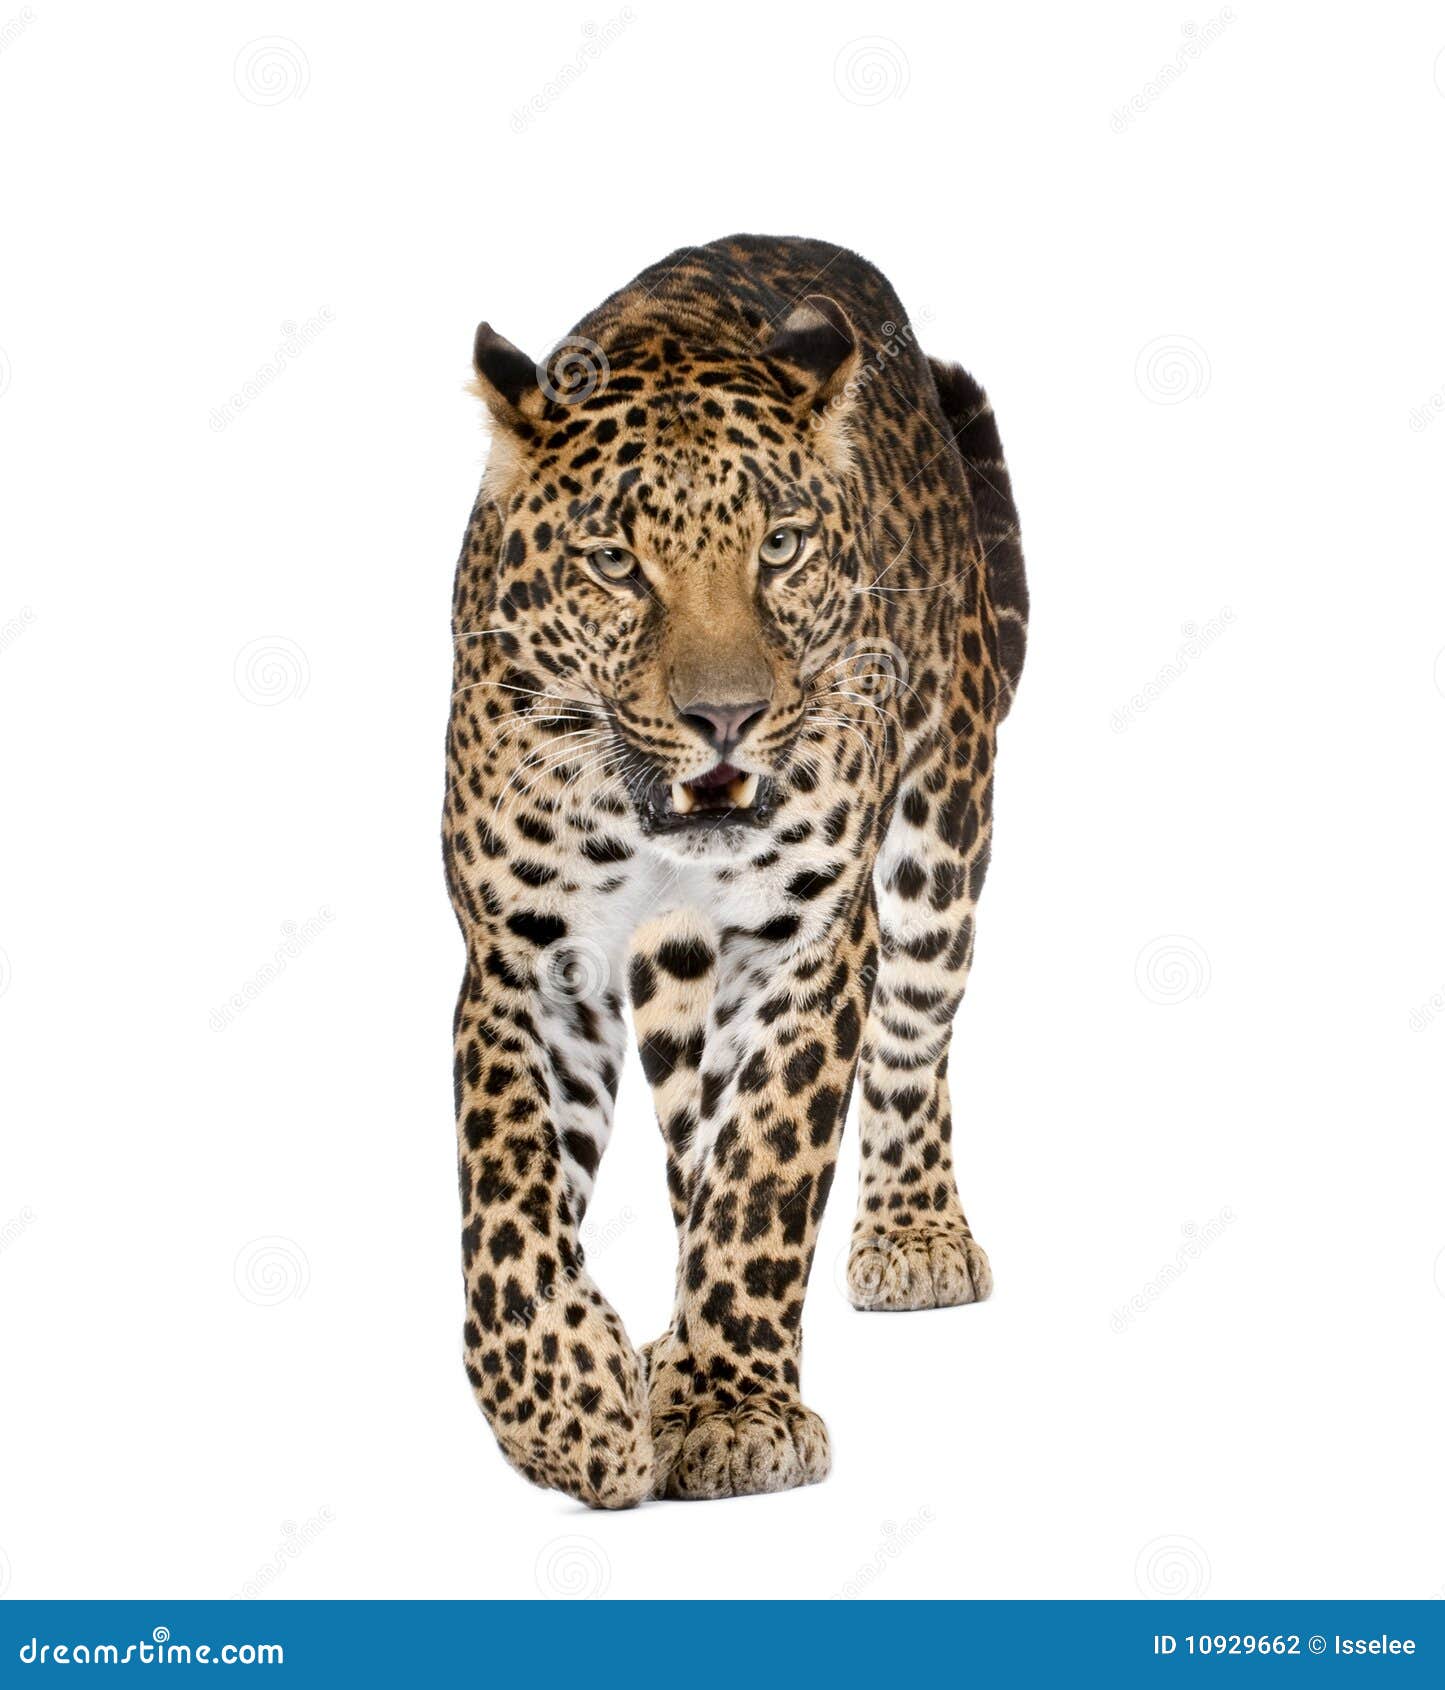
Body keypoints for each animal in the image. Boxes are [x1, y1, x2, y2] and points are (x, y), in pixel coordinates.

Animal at [443, 234, 1028, 1508]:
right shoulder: (525, 957)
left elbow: (764, 1167)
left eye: (780, 547)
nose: (726, 720)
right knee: (687, 1139)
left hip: (939, 835)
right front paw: (568, 1409)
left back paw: (911, 1235)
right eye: (615, 562)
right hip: (672, 982)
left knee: (909, 1041)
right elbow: (505, 1200)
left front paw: (729, 1408)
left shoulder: (806, 939)